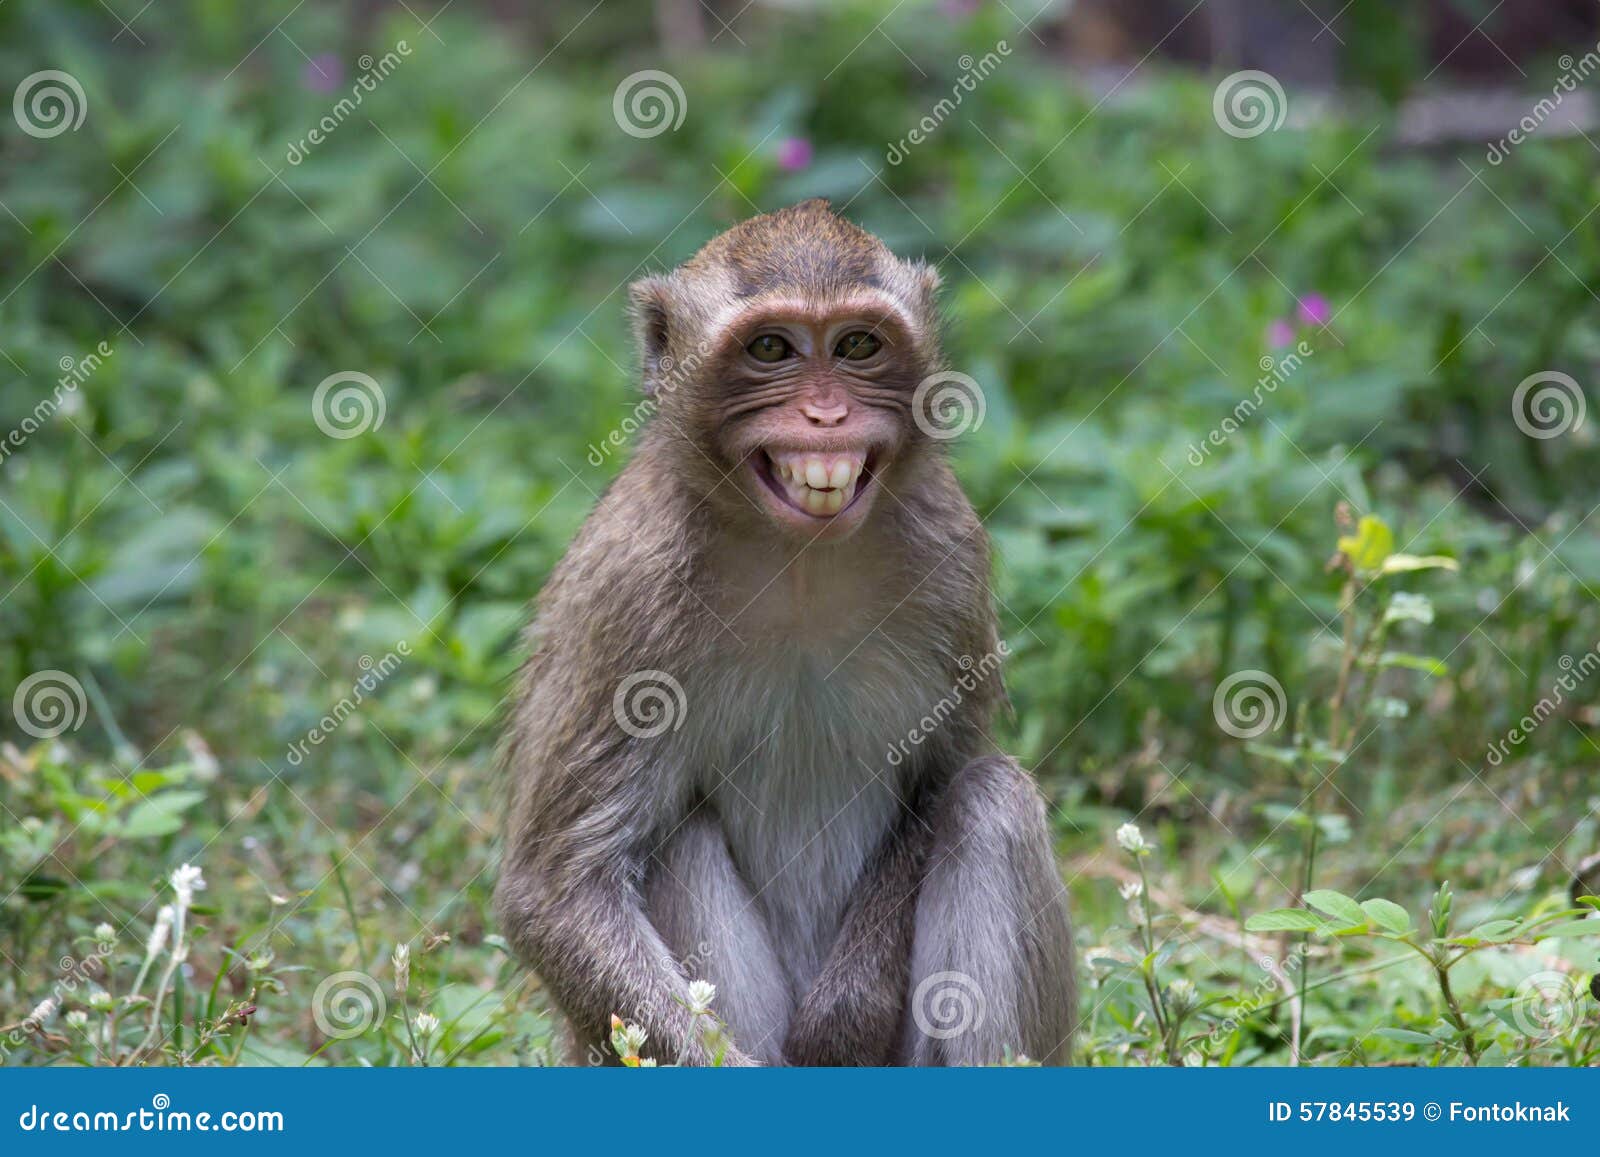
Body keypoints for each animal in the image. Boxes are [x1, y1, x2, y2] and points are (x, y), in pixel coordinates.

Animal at [495, 199, 1076, 1066]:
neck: (797, 559)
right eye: (770, 348)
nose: (826, 415)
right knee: (677, 837)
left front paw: (847, 1010)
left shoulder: (951, 554)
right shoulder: (625, 591)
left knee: (990, 799)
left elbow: (942, 776)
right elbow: (558, 888)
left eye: (858, 345)